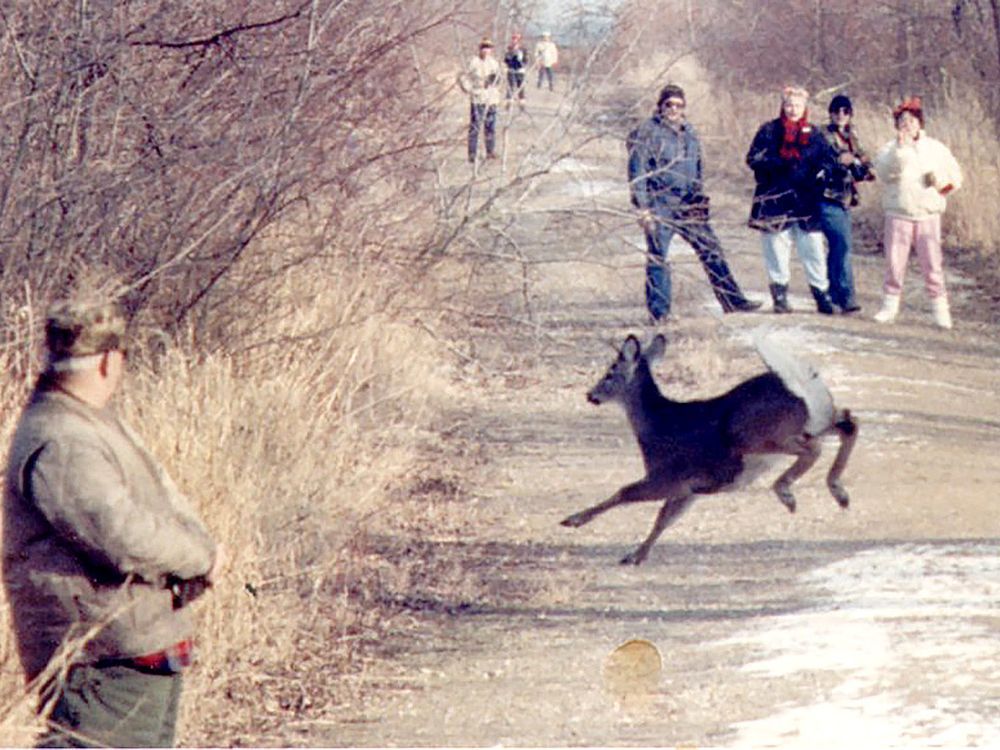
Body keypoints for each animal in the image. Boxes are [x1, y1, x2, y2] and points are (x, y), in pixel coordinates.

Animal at [561, 332, 858, 565]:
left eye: (610, 373)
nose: (590, 395)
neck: (655, 426)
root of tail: (803, 386)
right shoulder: (687, 488)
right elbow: (664, 518)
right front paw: (636, 556)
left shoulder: (668, 474)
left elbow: (625, 493)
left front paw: (573, 520)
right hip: (817, 421)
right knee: (848, 424)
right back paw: (839, 492)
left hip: (754, 434)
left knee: (813, 448)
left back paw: (787, 492)